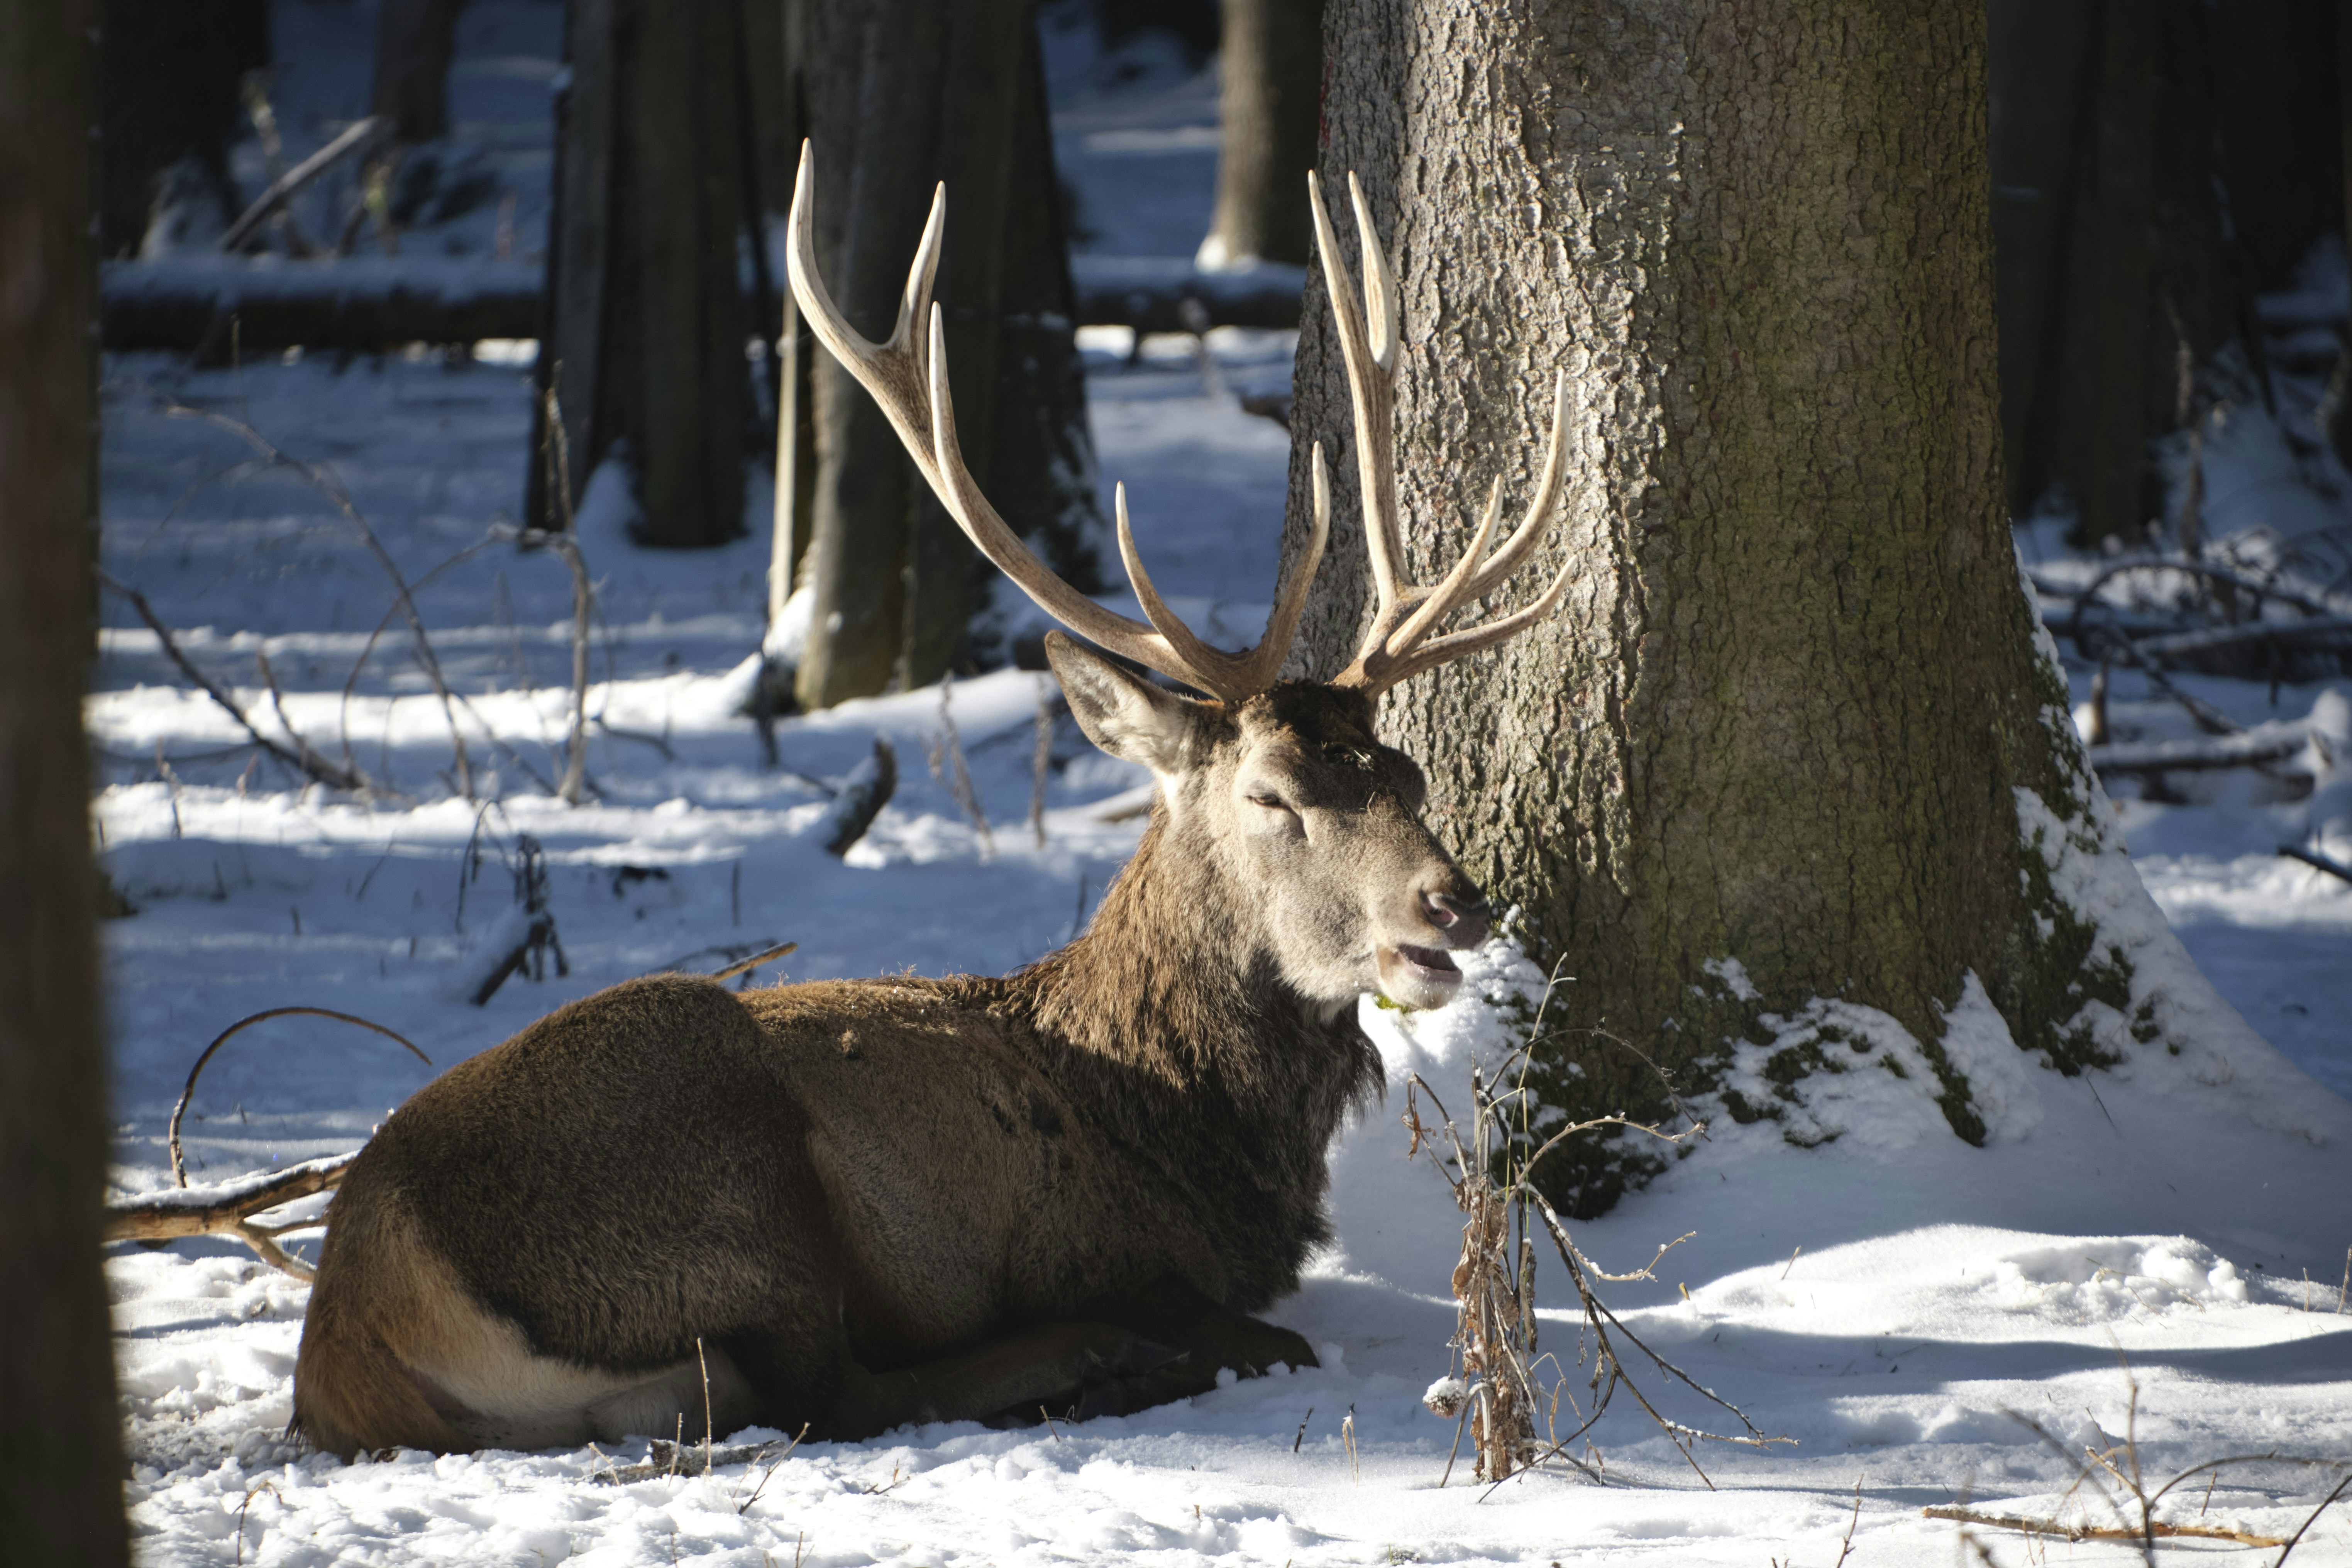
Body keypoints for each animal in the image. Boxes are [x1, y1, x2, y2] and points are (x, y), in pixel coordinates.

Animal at [290, 146, 1575, 1459]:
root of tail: (354, 1320)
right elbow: (1257, 1327)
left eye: (1403, 774)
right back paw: (1093, 1355)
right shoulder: (1106, 1245)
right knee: (831, 1391)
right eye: (1272, 793)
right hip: (723, 1176)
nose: (1455, 903)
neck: (1165, 1116)